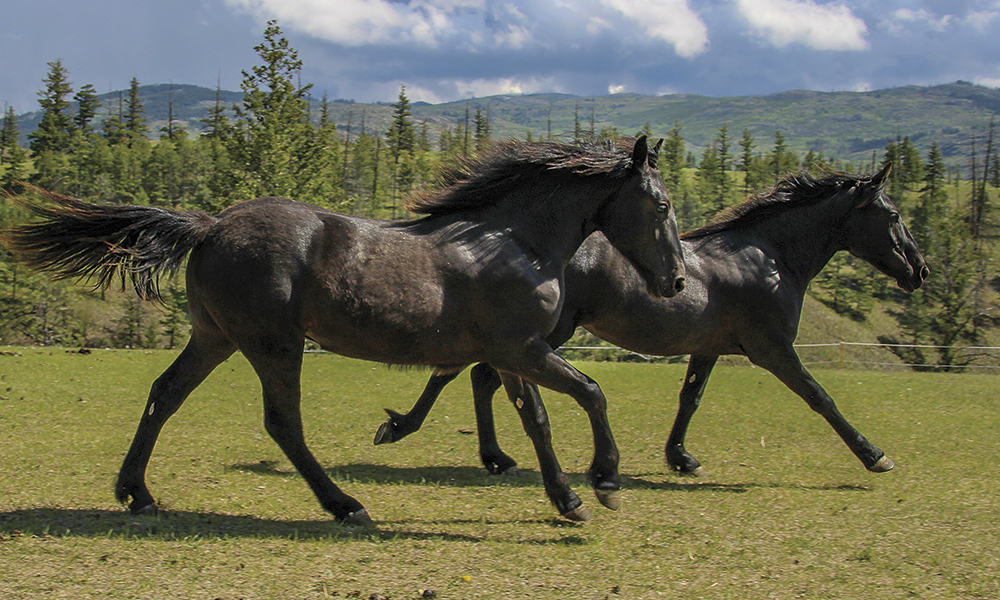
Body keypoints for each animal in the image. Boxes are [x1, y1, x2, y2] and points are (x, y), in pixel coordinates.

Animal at [4, 136, 686, 524]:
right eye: (661, 204)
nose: (677, 280)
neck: (513, 241)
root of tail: (210, 225)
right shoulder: (524, 347)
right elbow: (591, 392)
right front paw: (605, 482)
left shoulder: (514, 353)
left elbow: (537, 419)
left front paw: (566, 500)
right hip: (272, 343)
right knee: (283, 422)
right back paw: (345, 506)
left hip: (215, 337)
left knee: (164, 395)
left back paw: (137, 494)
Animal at [373, 164, 929, 478]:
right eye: (894, 214)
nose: (920, 271)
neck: (770, 258)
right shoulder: (772, 349)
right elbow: (820, 398)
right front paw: (875, 456)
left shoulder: (709, 348)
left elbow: (690, 399)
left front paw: (680, 458)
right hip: (543, 334)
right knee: (476, 376)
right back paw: (429, 436)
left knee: (476, 377)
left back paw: (483, 453)